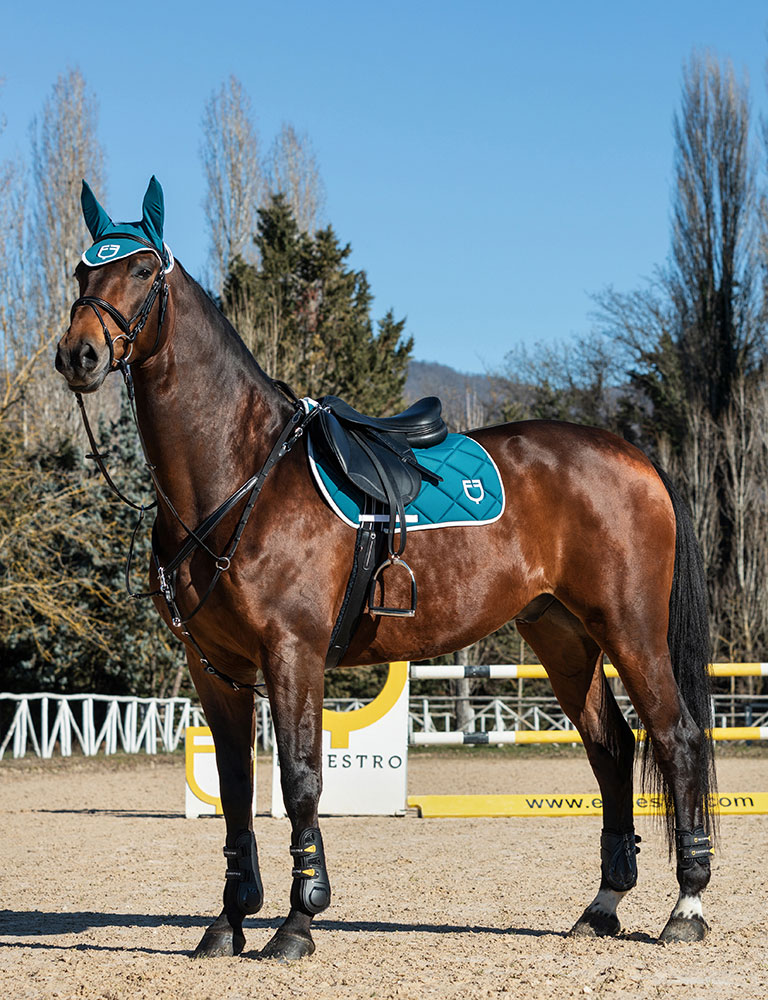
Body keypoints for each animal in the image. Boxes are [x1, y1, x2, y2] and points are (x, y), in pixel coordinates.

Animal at [55, 178, 716, 961]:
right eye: (80, 271)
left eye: (142, 269)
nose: (78, 355)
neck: (241, 475)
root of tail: (634, 457)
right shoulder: (215, 667)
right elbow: (236, 786)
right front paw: (229, 920)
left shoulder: (292, 652)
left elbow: (302, 780)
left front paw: (299, 920)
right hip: (563, 636)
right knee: (612, 751)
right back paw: (603, 905)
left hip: (630, 629)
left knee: (677, 740)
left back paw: (687, 906)